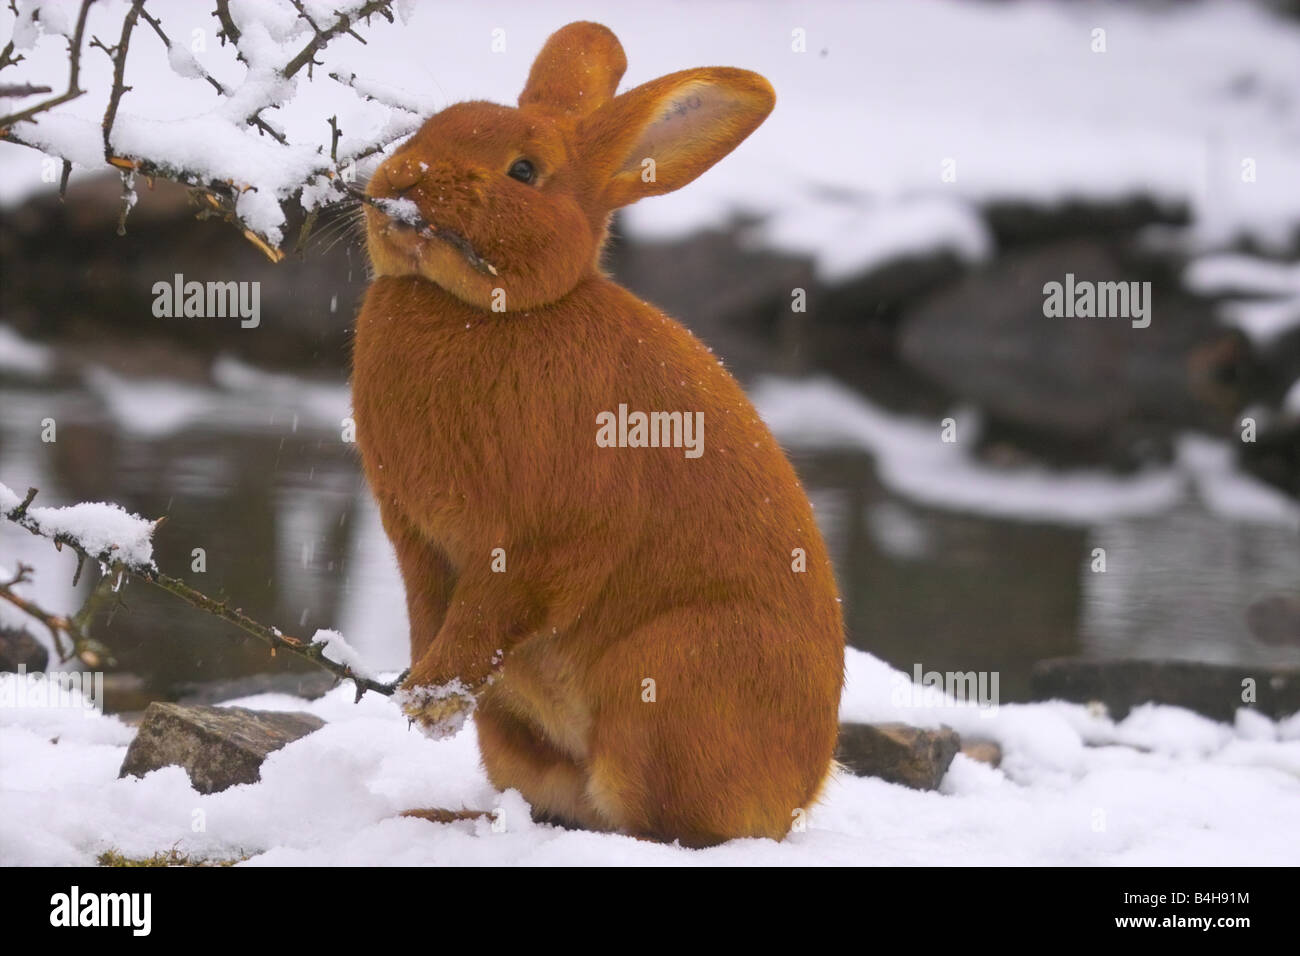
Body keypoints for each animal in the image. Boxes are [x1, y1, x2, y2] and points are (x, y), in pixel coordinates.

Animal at [352, 20, 844, 847]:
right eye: (432, 126)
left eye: (524, 171)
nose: (401, 181)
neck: (491, 312)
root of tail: (799, 796)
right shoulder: (413, 536)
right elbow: (429, 605)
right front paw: (426, 697)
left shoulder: (542, 538)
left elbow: (495, 605)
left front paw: (432, 698)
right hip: (519, 737)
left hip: (666, 688)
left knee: (656, 826)